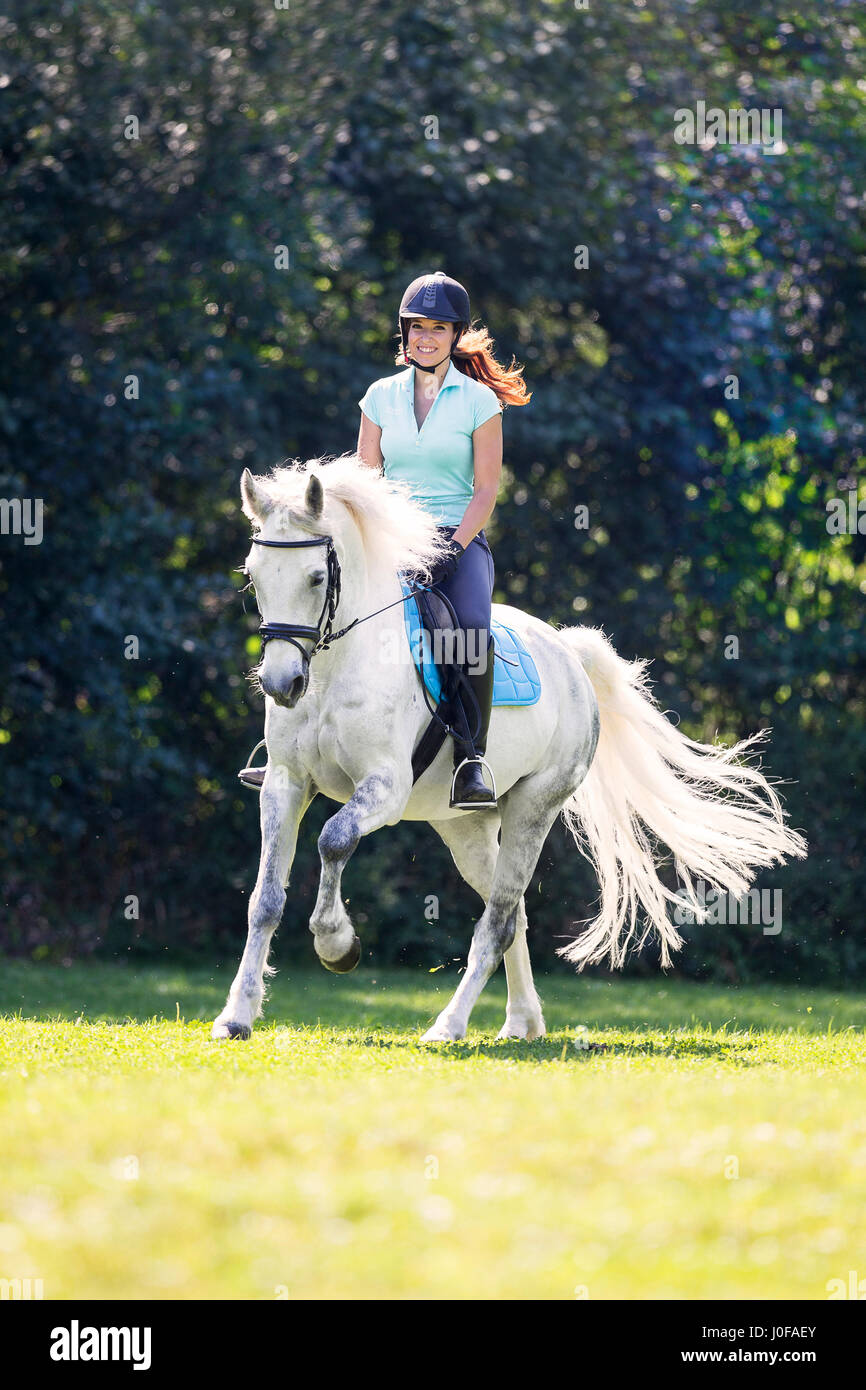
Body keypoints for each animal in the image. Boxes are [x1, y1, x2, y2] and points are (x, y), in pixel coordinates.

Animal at [212, 455, 807, 1043]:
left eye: (317, 578)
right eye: (253, 576)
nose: (282, 684)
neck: (337, 667)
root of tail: (569, 653)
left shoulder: (384, 788)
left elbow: (334, 839)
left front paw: (336, 943)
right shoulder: (286, 784)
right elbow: (264, 900)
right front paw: (236, 1016)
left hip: (532, 809)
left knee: (497, 922)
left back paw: (449, 1025)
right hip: (464, 825)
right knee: (512, 915)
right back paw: (522, 1021)